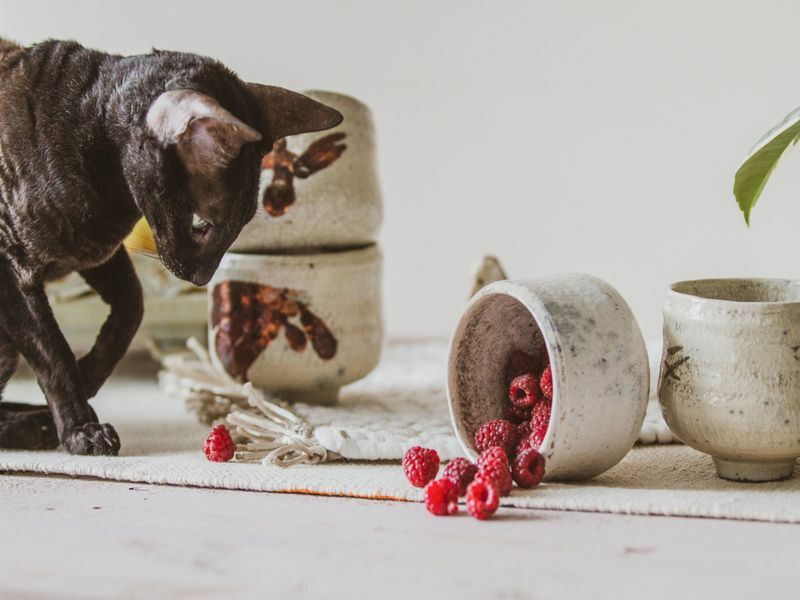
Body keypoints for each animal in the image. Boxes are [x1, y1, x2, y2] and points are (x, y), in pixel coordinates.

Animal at [0, 38, 340, 454]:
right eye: (200, 224)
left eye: (242, 225)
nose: (203, 278)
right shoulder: (13, 271)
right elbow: (53, 354)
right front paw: (81, 427)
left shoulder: (96, 250)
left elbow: (132, 310)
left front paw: (90, 374)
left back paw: (38, 421)